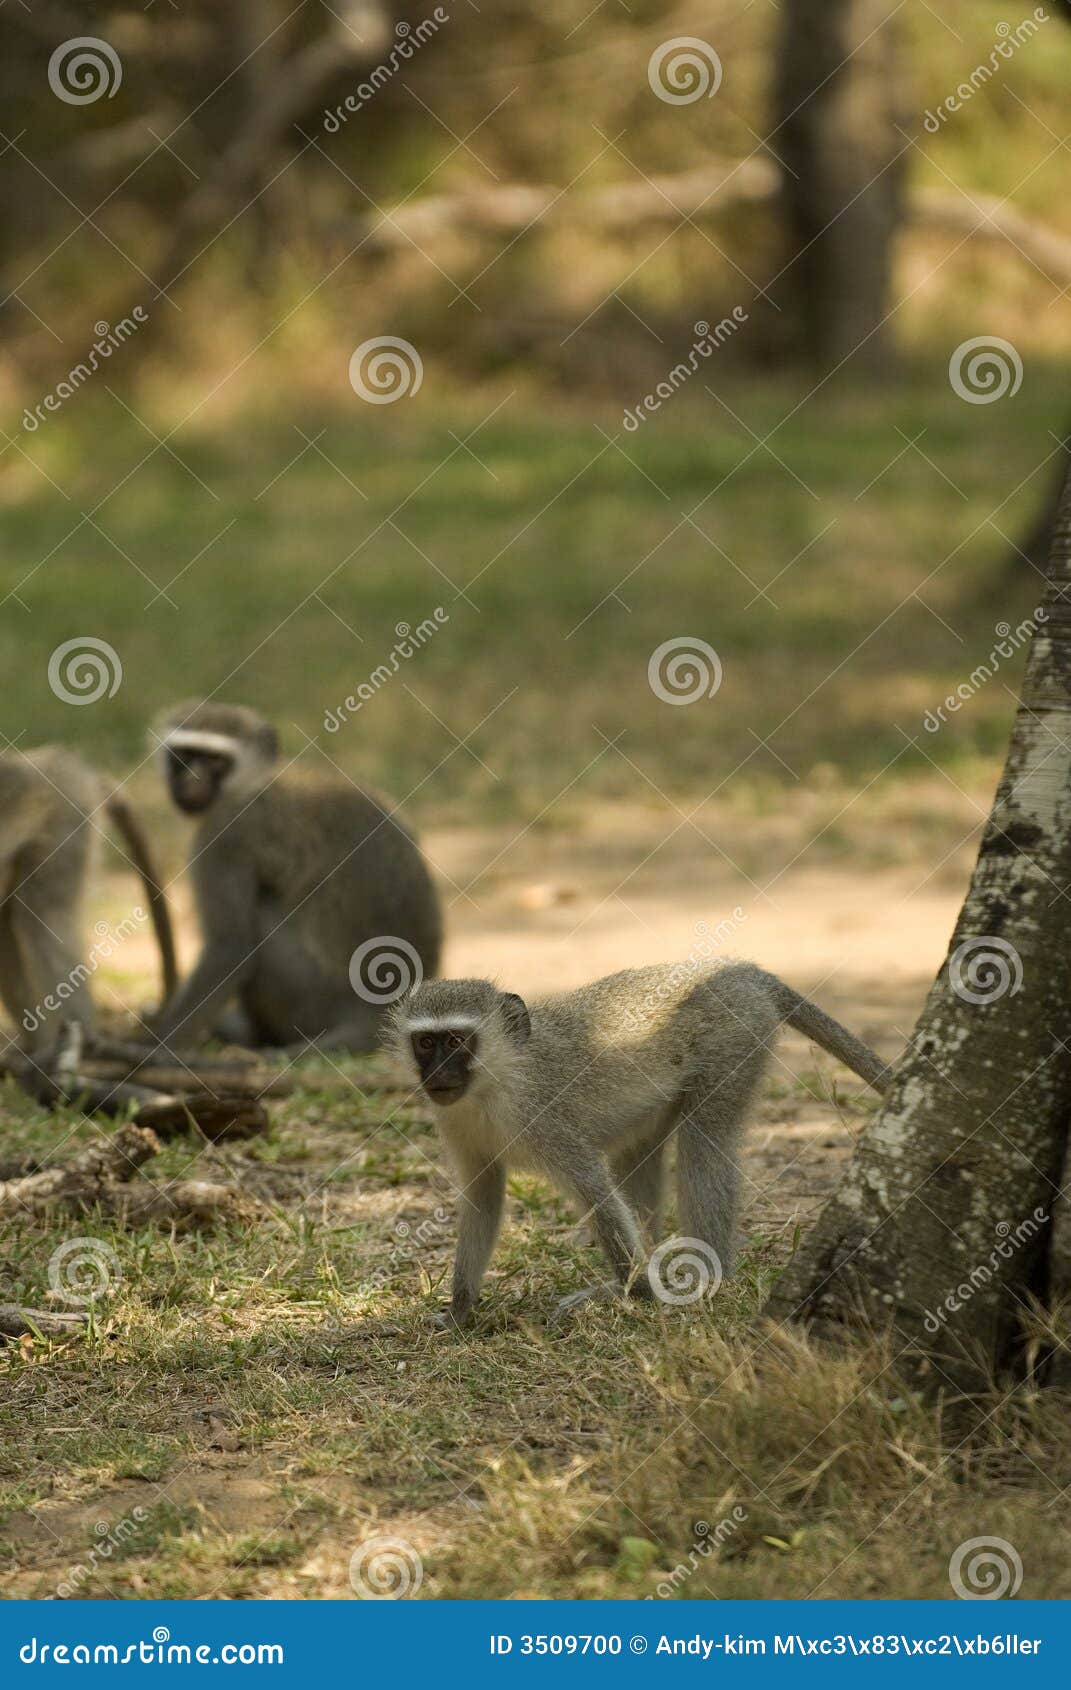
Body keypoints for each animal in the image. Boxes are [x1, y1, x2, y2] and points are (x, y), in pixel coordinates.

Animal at [149, 700, 443, 1053]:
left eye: (215, 761)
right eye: (185, 755)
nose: (191, 780)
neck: (252, 783)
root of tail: (372, 1013)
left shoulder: (225, 837)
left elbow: (230, 948)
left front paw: (153, 1045)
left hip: (310, 998)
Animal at [390, 961, 888, 1327]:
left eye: (458, 1041)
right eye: (427, 1043)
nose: (438, 1075)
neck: (494, 1084)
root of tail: (733, 969)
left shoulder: (547, 1120)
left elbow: (593, 1190)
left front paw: (633, 1293)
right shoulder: (457, 1124)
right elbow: (483, 1197)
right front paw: (459, 1310)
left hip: (735, 1040)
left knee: (704, 1144)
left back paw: (706, 1273)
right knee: (638, 1152)